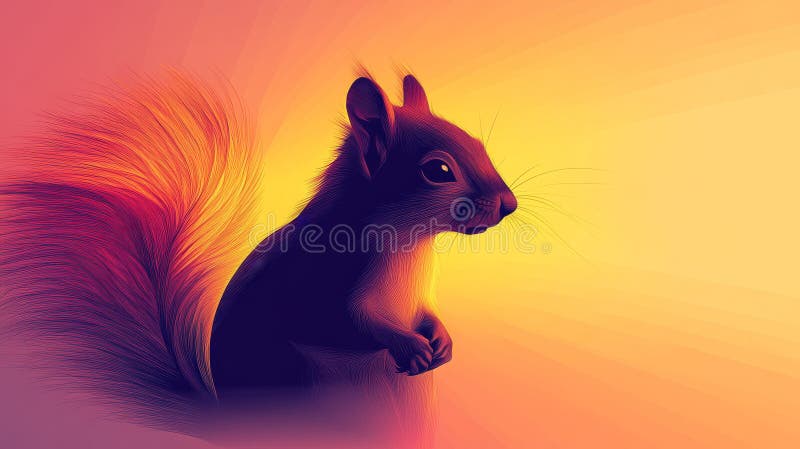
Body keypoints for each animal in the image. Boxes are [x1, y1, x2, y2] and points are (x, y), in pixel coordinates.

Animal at [0, 71, 516, 435]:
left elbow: (427, 313)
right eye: (438, 170)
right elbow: (344, 323)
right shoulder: (321, 278)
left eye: (477, 142)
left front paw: (441, 339)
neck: (413, 240)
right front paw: (409, 345)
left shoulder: (420, 295)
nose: (509, 205)